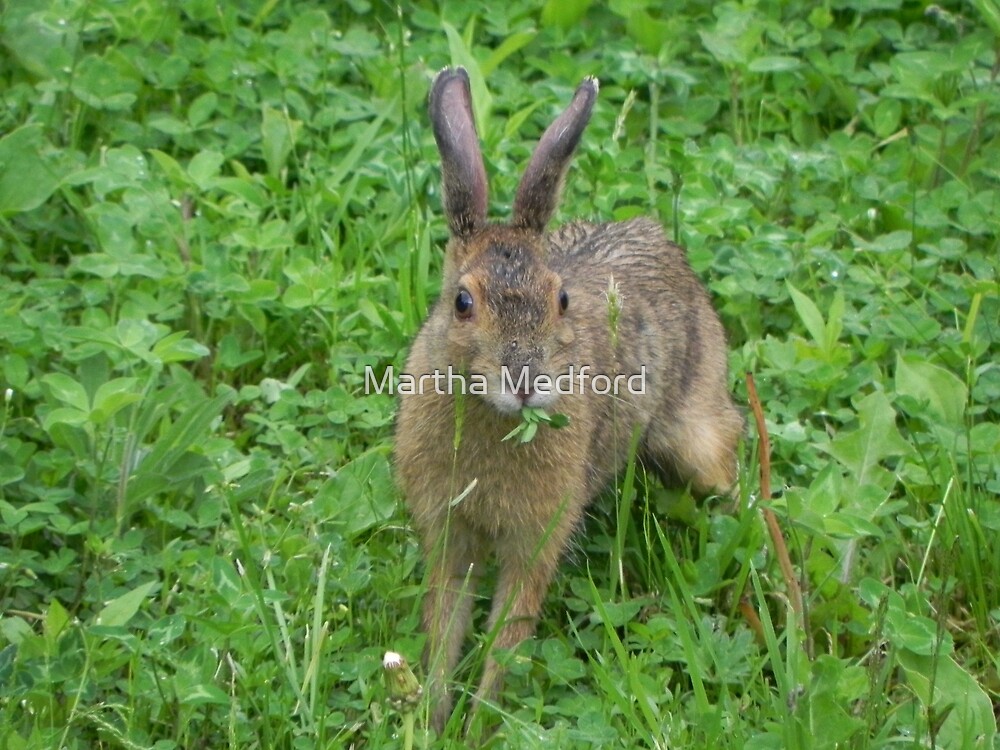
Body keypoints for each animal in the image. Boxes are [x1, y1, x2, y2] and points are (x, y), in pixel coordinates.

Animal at [394, 67, 743, 733]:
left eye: (560, 300)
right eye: (462, 302)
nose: (526, 380)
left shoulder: (537, 539)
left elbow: (508, 636)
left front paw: (479, 727)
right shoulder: (448, 532)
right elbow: (444, 627)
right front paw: (431, 719)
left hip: (694, 432)